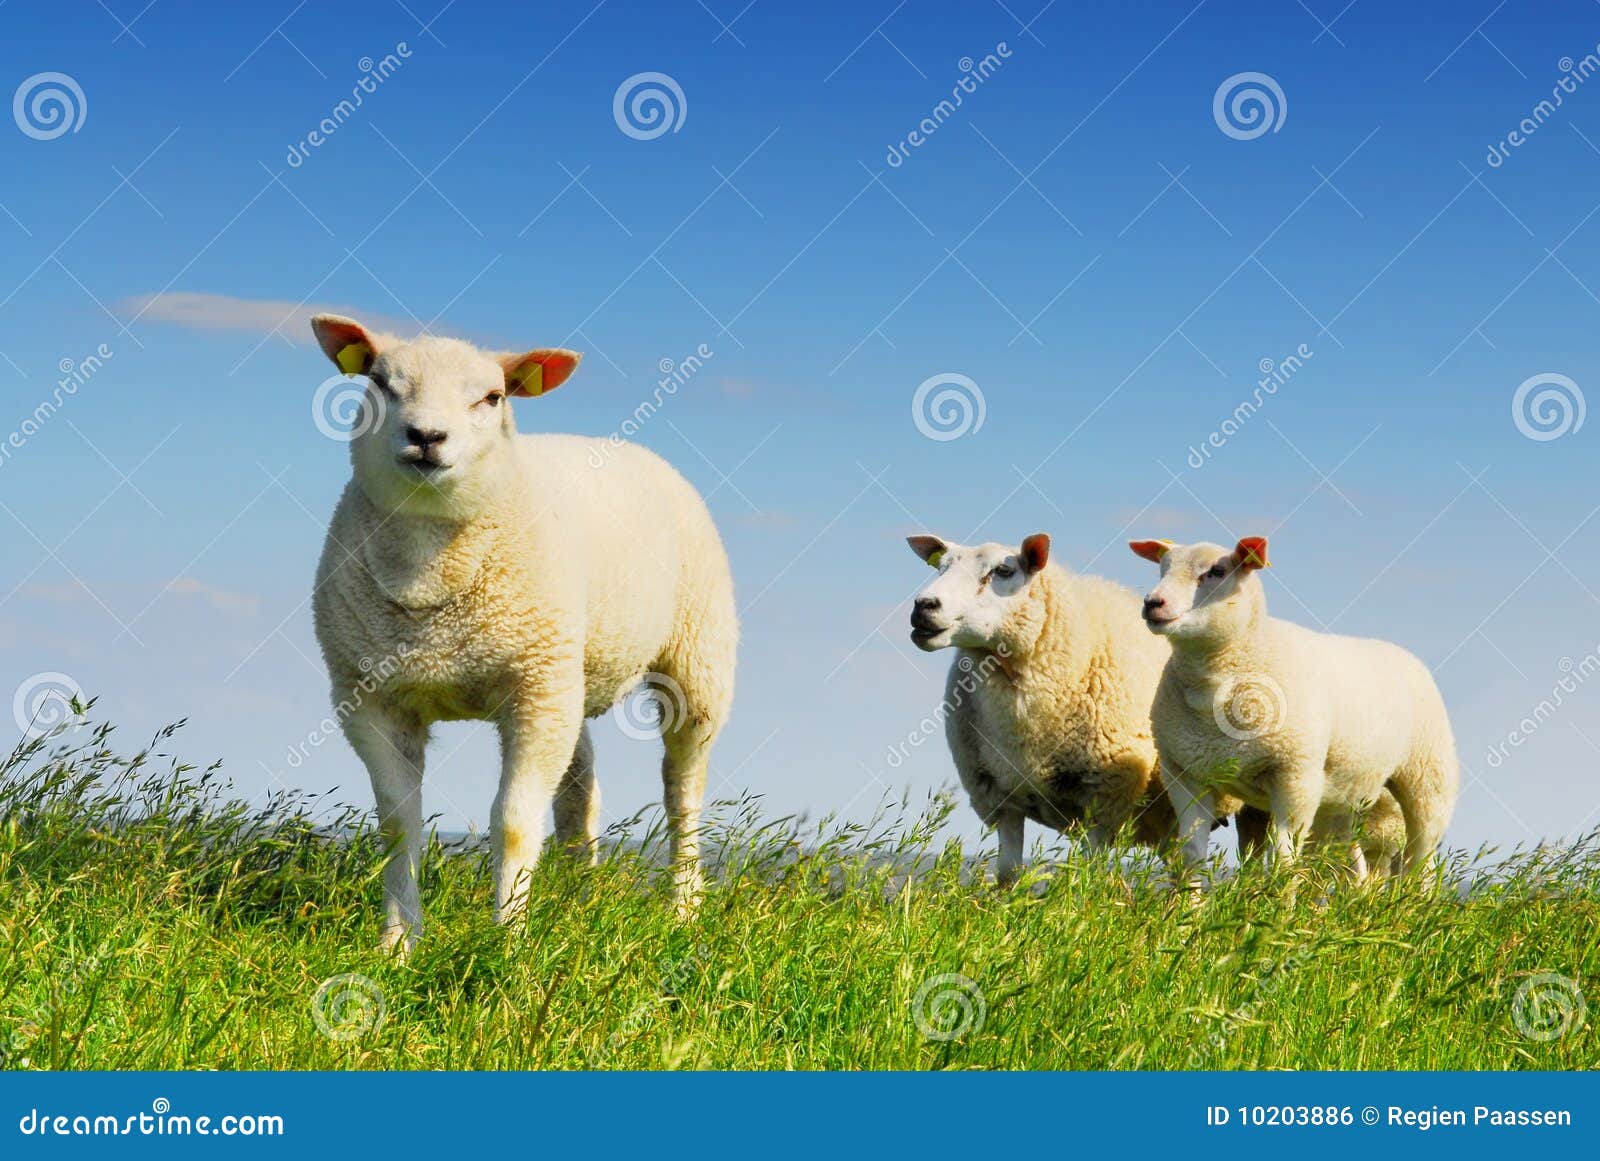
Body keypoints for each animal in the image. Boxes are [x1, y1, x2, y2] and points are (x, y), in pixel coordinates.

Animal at [307, 314, 738, 952]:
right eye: (381, 383)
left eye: (492, 397)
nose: (427, 436)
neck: (430, 577)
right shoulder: (369, 699)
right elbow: (397, 823)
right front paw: (398, 945)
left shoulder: (533, 692)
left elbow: (511, 821)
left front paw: (505, 940)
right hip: (568, 676)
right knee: (580, 794)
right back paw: (579, 903)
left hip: (694, 656)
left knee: (683, 789)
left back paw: (683, 908)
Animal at [906, 532, 1268, 885]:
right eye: (941, 567)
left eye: (1003, 571)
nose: (923, 606)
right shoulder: (1000, 796)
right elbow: (1008, 873)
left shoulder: (1105, 795)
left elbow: (1088, 872)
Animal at [1130, 535, 1457, 879]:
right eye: (1162, 569)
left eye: (1216, 571)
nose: (1152, 603)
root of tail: (1397, 649)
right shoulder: (1184, 775)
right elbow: (1192, 855)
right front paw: (1190, 896)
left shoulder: (1294, 776)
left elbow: (1283, 859)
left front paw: (1277, 895)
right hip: (1340, 794)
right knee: (1351, 863)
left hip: (1427, 778)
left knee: (1421, 859)